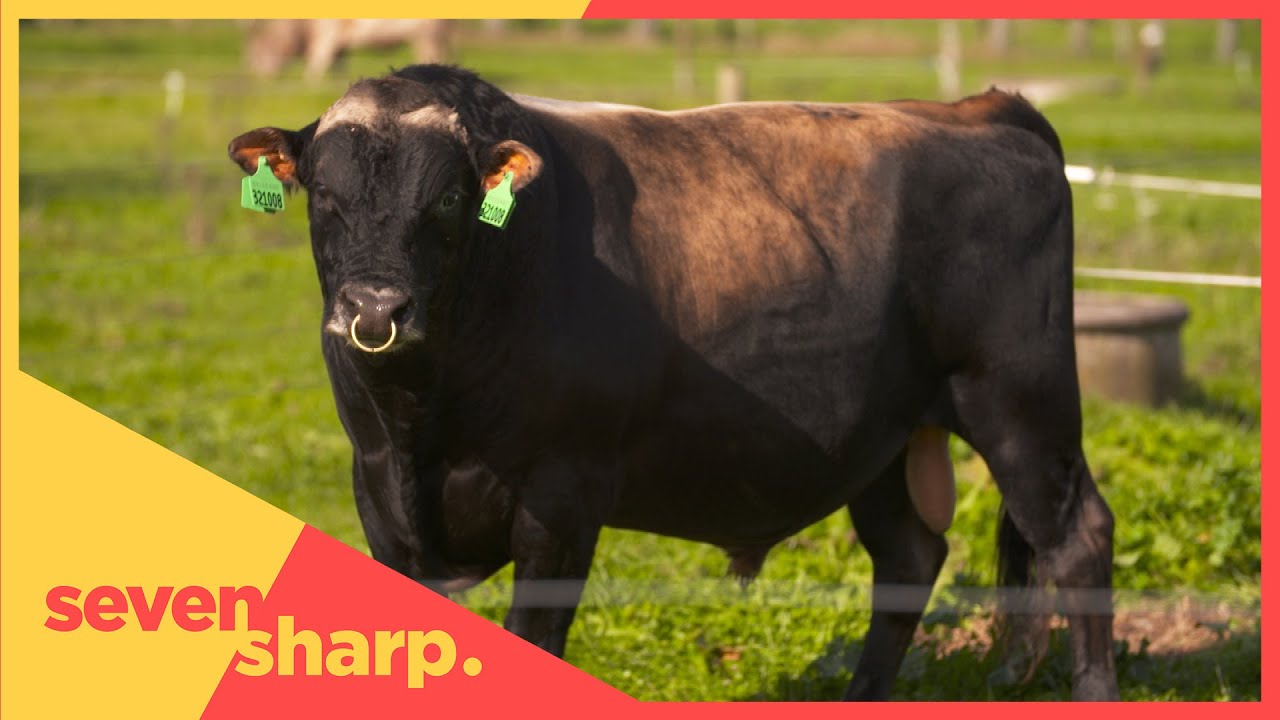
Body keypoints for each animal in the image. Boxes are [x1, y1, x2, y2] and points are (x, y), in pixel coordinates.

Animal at [228, 64, 1119, 701]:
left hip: (1019, 404)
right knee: (908, 555)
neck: (425, 421)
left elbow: (534, 635)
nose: (376, 308)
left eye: (448, 198)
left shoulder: (563, 496)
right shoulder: (377, 492)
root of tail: (984, 107)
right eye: (324, 197)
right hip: (883, 439)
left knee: (1078, 537)